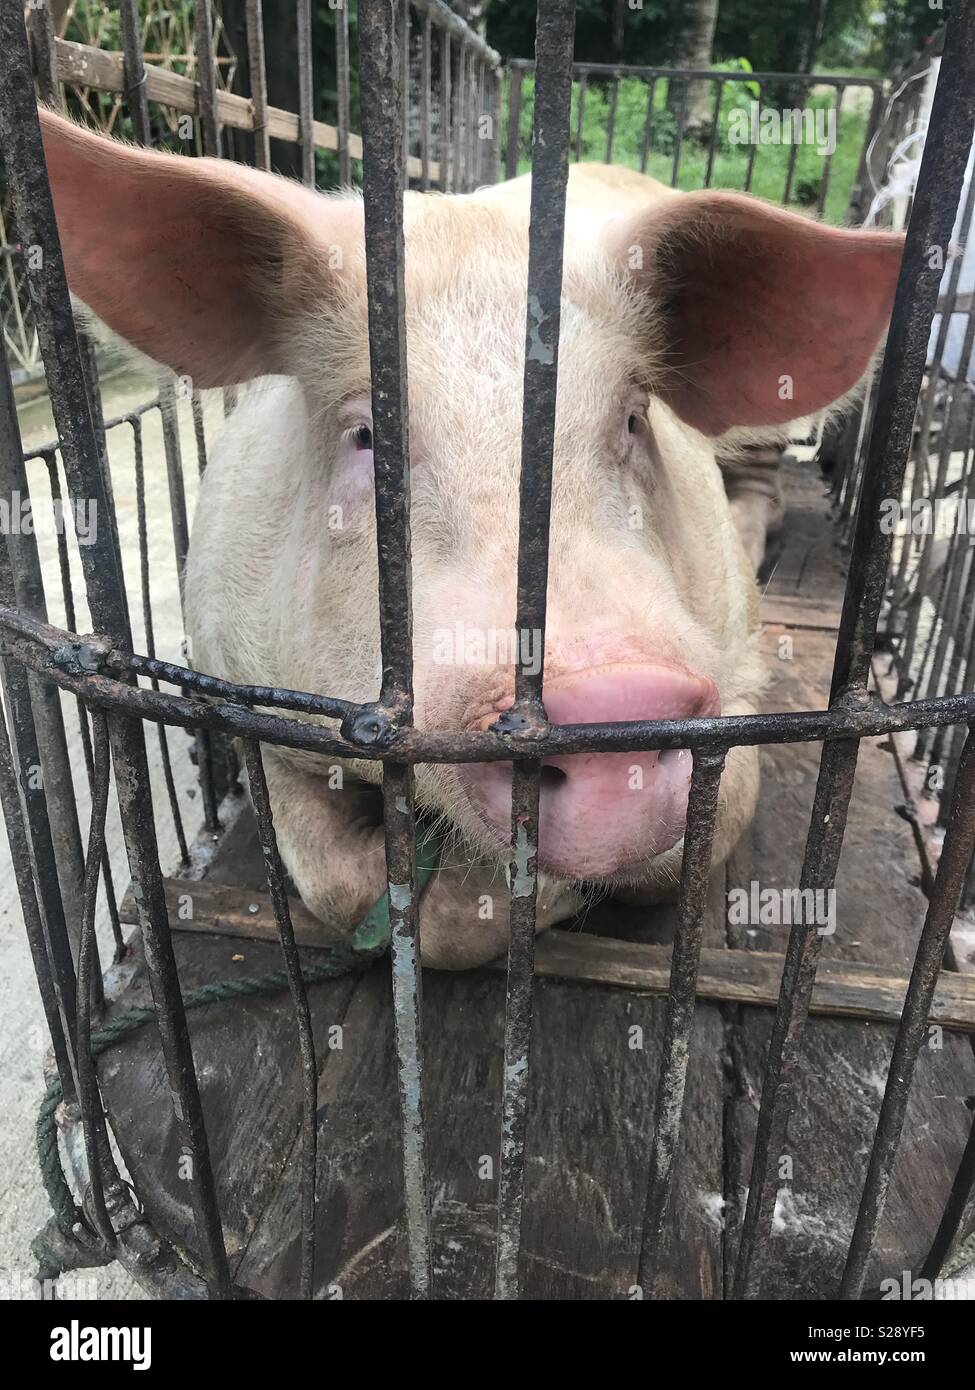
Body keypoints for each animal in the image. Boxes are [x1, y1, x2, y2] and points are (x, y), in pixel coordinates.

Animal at [39, 109, 903, 967]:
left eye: (633, 419)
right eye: (367, 436)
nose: (614, 691)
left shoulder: (737, 685)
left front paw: (557, 897)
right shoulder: (246, 695)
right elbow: (336, 881)